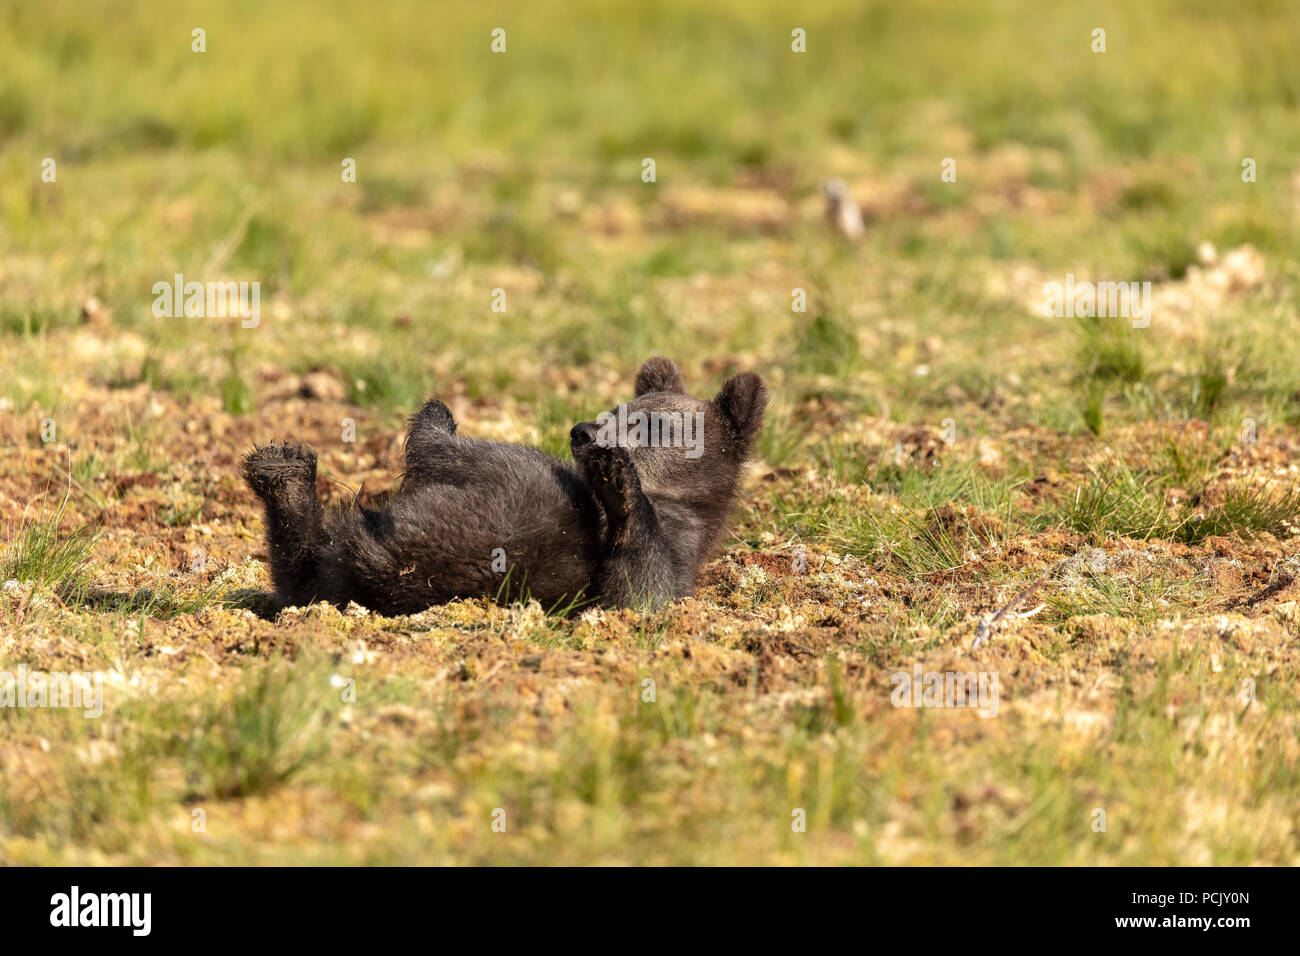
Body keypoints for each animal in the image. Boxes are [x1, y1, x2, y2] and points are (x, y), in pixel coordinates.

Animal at [242, 357, 768, 614]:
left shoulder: (674, 551)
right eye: (615, 410)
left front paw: (616, 474)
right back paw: (284, 472)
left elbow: (636, 592)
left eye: (657, 425)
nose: (584, 432)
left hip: (512, 484)